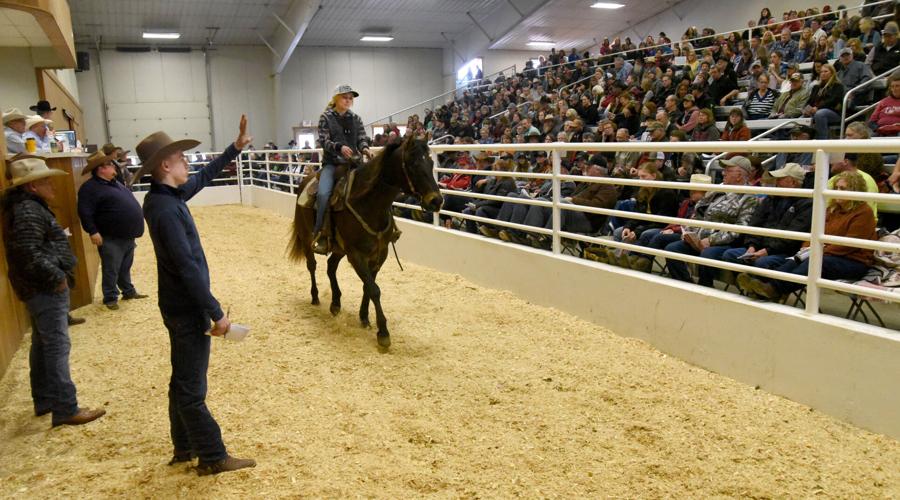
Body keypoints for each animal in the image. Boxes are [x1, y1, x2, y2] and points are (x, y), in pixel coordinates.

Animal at [289, 135, 443, 348]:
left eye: (431, 163)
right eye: (412, 164)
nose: (436, 201)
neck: (368, 202)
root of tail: (305, 181)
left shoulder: (379, 253)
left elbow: (368, 287)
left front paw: (364, 317)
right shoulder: (356, 255)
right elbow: (374, 289)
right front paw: (383, 332)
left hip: (339, 249)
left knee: (330, 267)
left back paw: (335, 303)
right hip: (306, 238)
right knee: (312, 265)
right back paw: (315, 296)